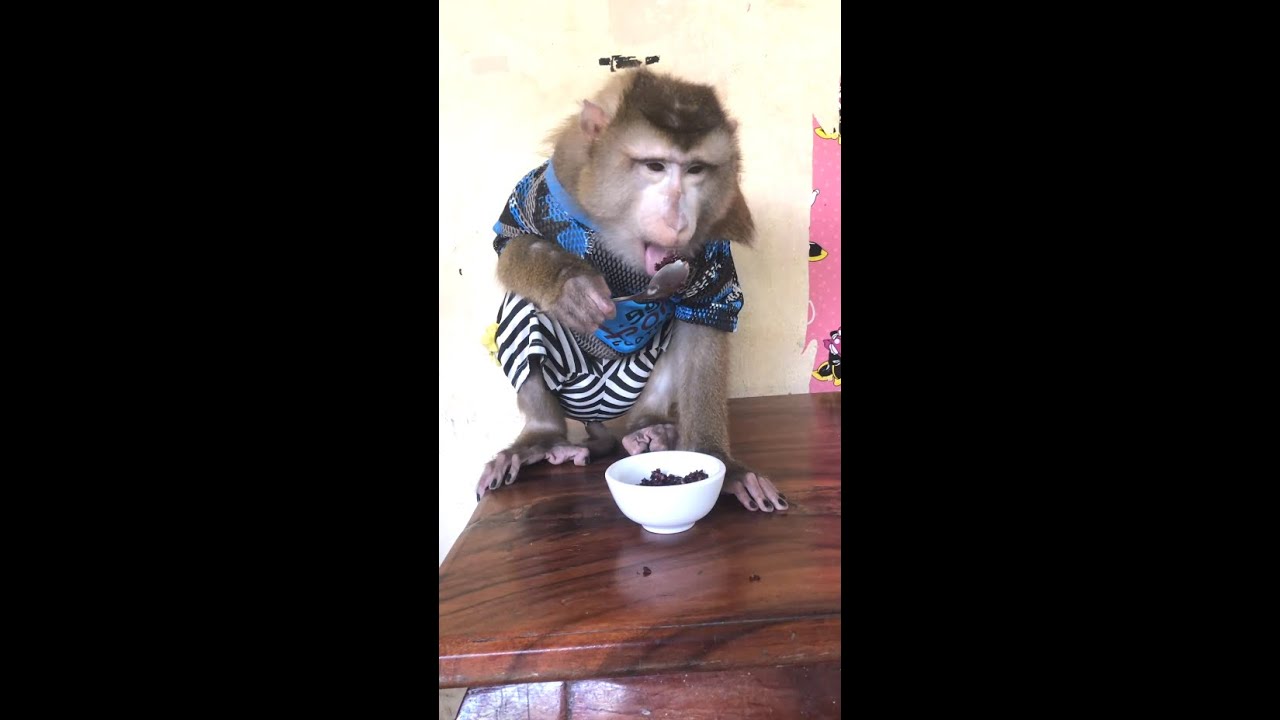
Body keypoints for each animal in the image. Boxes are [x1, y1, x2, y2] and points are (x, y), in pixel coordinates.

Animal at [477, 69, 788, 514]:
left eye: (695, 170)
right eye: (655, 166)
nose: (677, 221)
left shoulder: (713, 244)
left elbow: (706, 316)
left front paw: (722, 464)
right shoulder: (546, 191)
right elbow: (511, 239)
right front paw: (571, 285)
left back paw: (648, 430)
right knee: (523, 306)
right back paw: (542, 438)